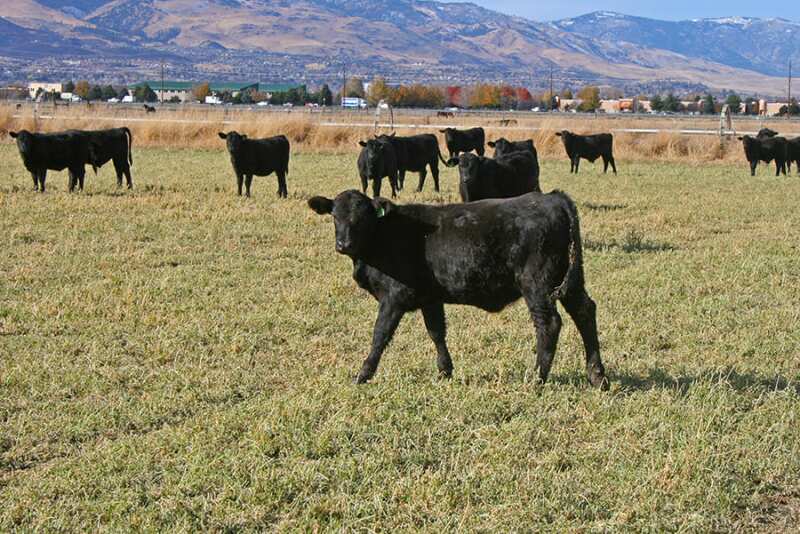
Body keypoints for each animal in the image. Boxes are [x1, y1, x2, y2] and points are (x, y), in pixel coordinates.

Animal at [307, 189, 609, 390]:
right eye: (335, 216)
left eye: (363, 217)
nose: (343, 244)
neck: (384, 236)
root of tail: (552, 197)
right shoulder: (430, 298)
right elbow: (437, 332)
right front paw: (445, 371)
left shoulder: (393, 298)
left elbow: (379, 336)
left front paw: (363, 374)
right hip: (570, 282)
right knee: (585, 312)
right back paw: (597, 376)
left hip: (537, 285)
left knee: (549, 324)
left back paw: (536, 379)